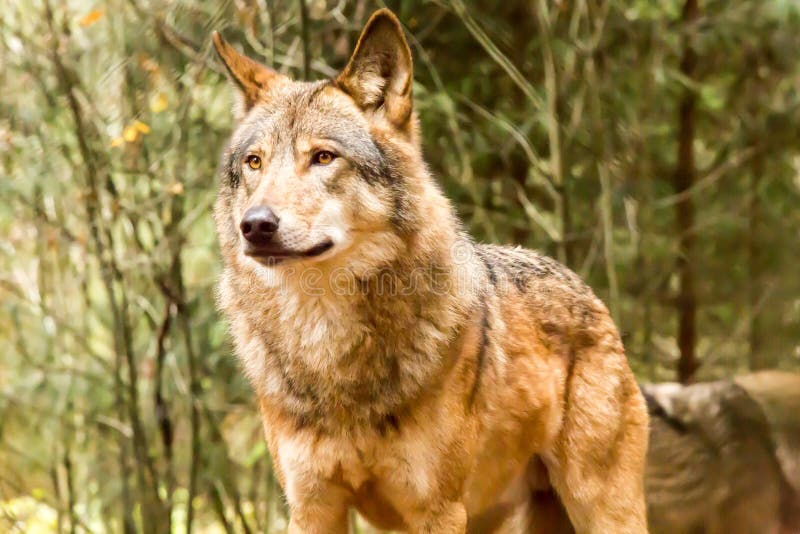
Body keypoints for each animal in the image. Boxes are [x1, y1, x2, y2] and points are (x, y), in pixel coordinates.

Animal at [212, 9, 648, 533]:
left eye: (323, 157)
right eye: (254, 162)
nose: (255, 225)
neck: (329, 351)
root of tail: (585, 289)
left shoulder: (437, 509)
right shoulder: (312, 509)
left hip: (601, 508)